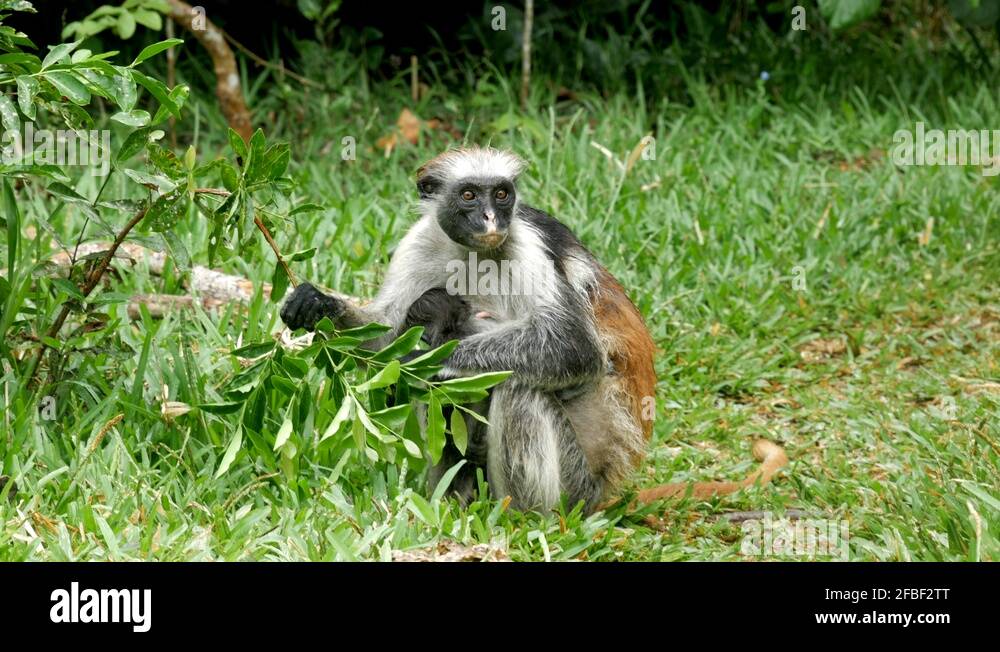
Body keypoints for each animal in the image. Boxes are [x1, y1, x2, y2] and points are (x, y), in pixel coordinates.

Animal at [280, 146, 787, 515]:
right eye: (470, 196)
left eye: (502, 195)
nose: (491, 219)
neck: (471, 253)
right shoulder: (422, 240)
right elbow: (388, 332)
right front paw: (320, 306)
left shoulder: (525, 244)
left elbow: (574, 348)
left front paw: (433, 357)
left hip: (578, 482)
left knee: (518, 388)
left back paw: (521, 518)